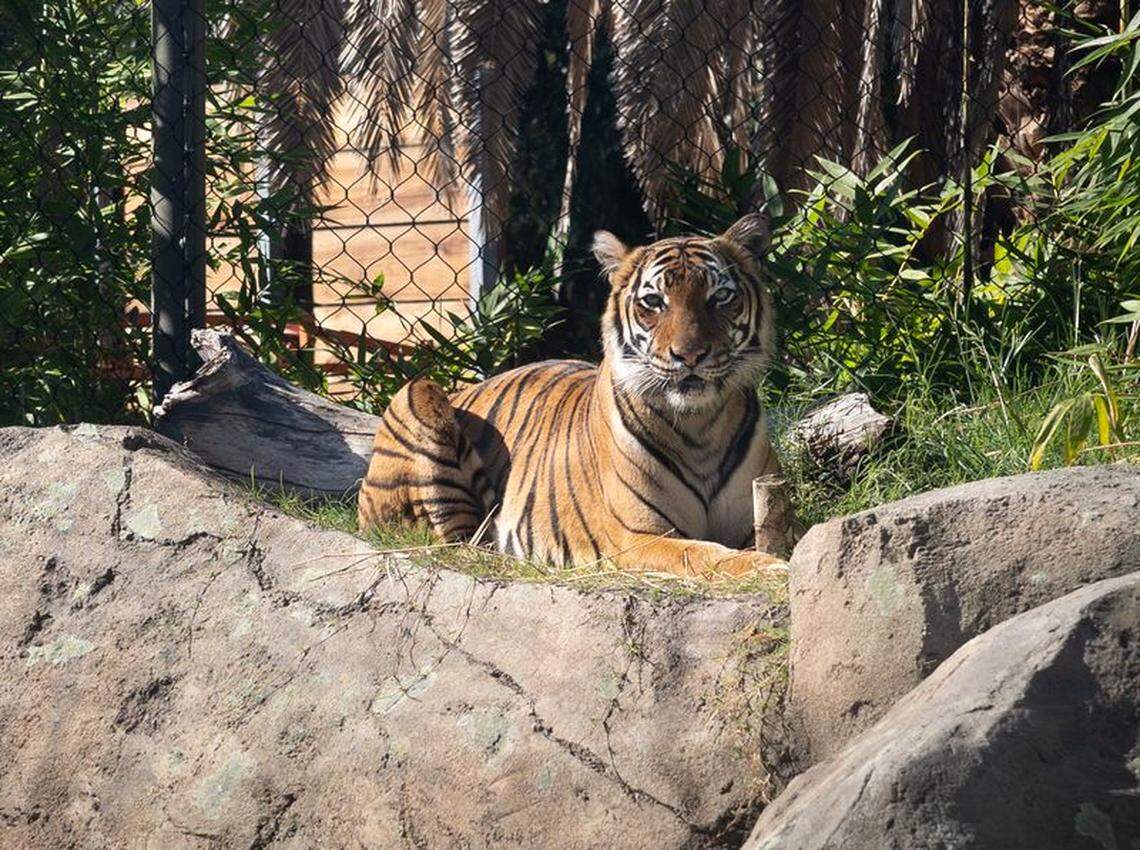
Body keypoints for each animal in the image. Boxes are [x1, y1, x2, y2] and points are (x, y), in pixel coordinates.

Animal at [357, 213, 789, 577]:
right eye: (653, 302)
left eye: (720, 298)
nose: (690, 355)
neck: (700, 425)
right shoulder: (638, 537)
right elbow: (702, 553)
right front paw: (766, 567)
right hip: (417, 393)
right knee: (457, 542)